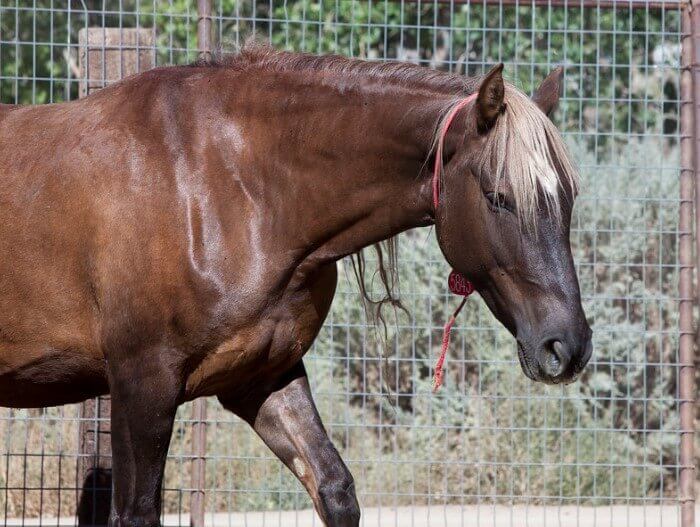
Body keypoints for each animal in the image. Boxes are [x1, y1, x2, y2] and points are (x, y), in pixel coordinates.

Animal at [0, 47, 592, 527]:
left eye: (568, 196)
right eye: (498, 197)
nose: (567, 346)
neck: (225, 183)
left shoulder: (264, 376)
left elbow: (334, 488)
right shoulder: (141, 385)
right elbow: (137, 511)